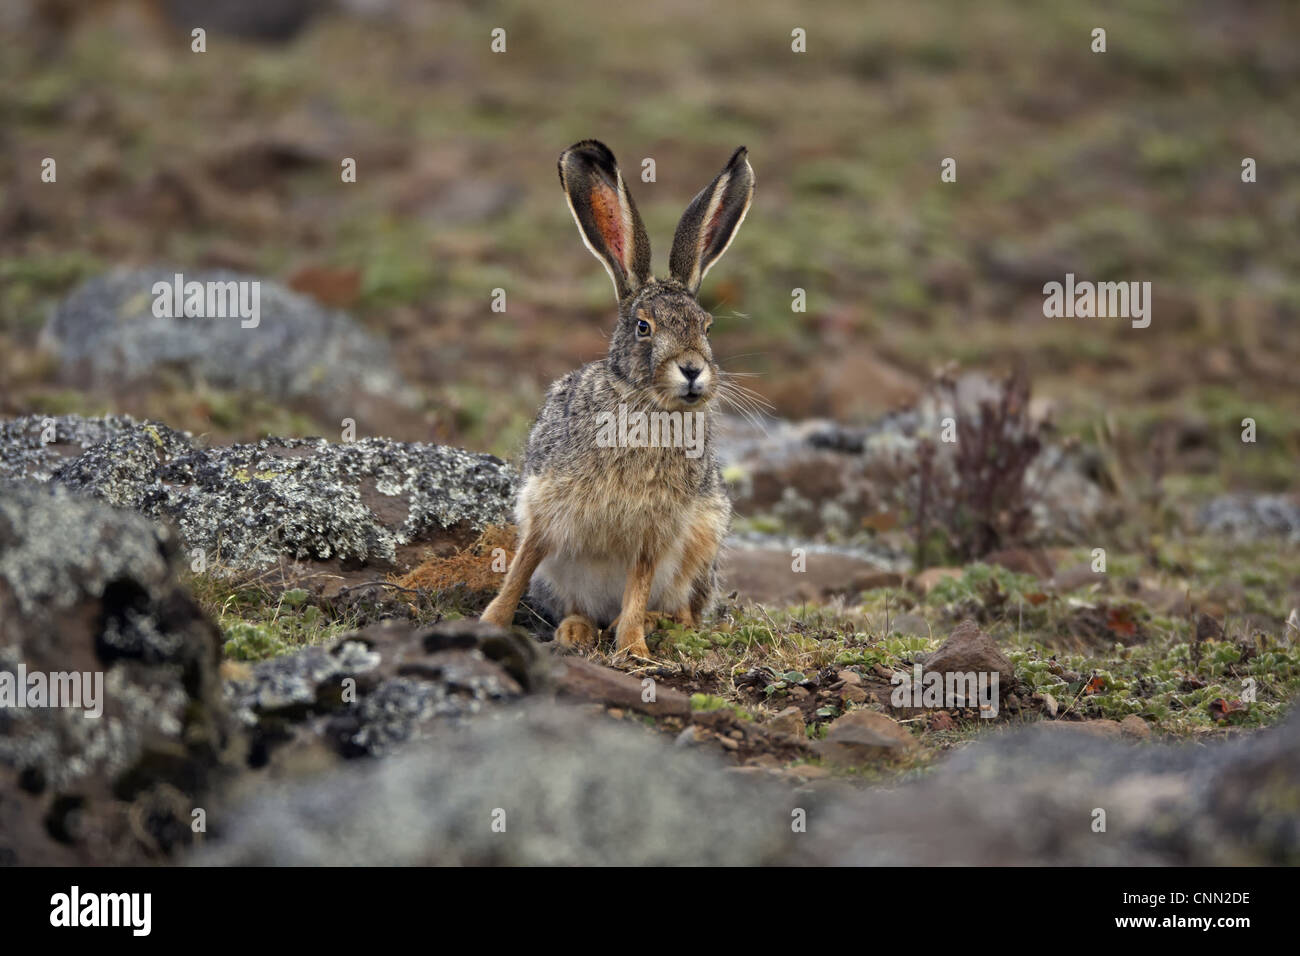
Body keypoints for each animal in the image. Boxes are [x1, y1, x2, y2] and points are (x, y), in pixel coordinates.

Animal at [480, 139, 755, 658]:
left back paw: (660, 624)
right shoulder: (546, 507)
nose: (693, 369)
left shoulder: (655, 531)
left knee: (684, 607)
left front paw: (634, 649)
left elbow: (638, 585)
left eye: (706, 328)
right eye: (643, 327)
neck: (646, 405)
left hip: (704, 541)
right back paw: (575, 630)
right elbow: (523, 563)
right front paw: (491, 622)